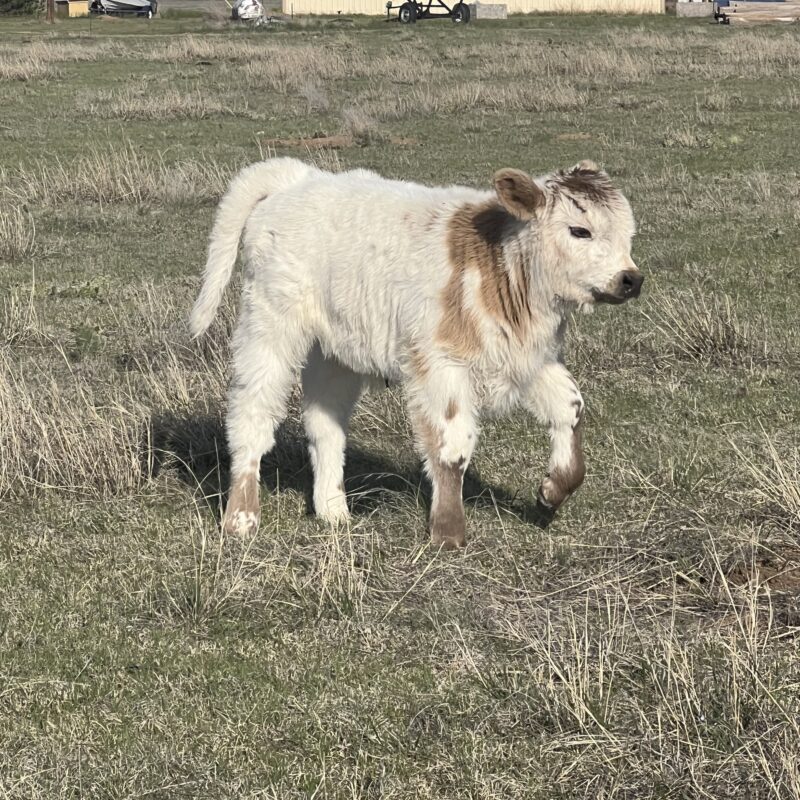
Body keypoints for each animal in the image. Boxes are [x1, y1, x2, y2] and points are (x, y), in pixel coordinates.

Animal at [190, 157, 642, 548]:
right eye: (580, 230)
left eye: (628, 234)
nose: (631, 279)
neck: (498, 269)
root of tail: (300, 177)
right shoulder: (441, 364)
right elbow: (451, 446)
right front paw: (448, 533)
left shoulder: (530, 358)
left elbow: (570, 408)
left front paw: (551, 493)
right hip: (269, 325)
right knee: (253, 412)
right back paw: (242, 519)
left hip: (334, 350)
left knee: (325, 423)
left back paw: (334, 511)